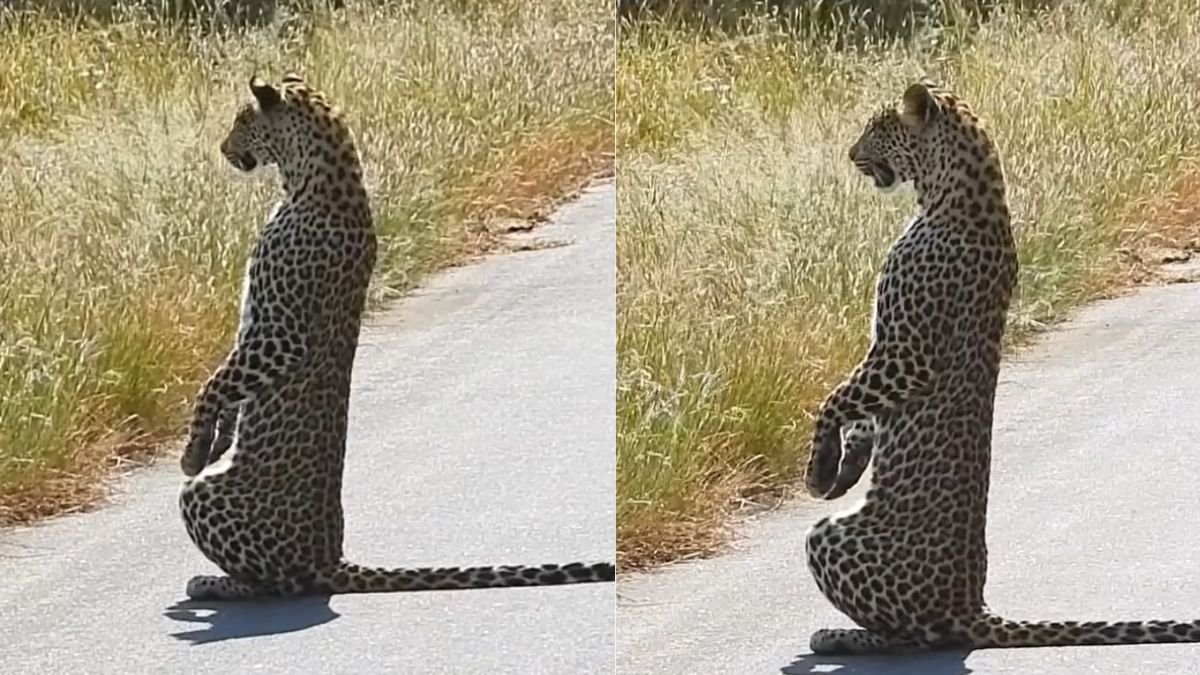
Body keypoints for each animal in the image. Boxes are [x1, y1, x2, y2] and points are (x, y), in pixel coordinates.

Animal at [177, 74, 614, 600]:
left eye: (243, 121)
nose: (224, 149)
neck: (308, 178)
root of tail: (331, 561)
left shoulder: (279, 336)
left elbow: (216, 383)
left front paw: (194, 451)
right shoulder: (256, 333)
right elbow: (227, 381)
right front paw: (218, 440)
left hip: (208, 499)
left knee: (276, 585)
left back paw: (211, 583)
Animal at [801, 80, 1200, 654]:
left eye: (878, 128)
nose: (852, 155)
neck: (947, 192)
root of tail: (973, 608)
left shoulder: (906, 352)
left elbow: (836, 398)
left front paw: (817, 470)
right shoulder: (885, 348)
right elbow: (859, 409)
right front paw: (845, 467)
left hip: (831, 537)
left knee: (914, 637)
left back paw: (838, 636)